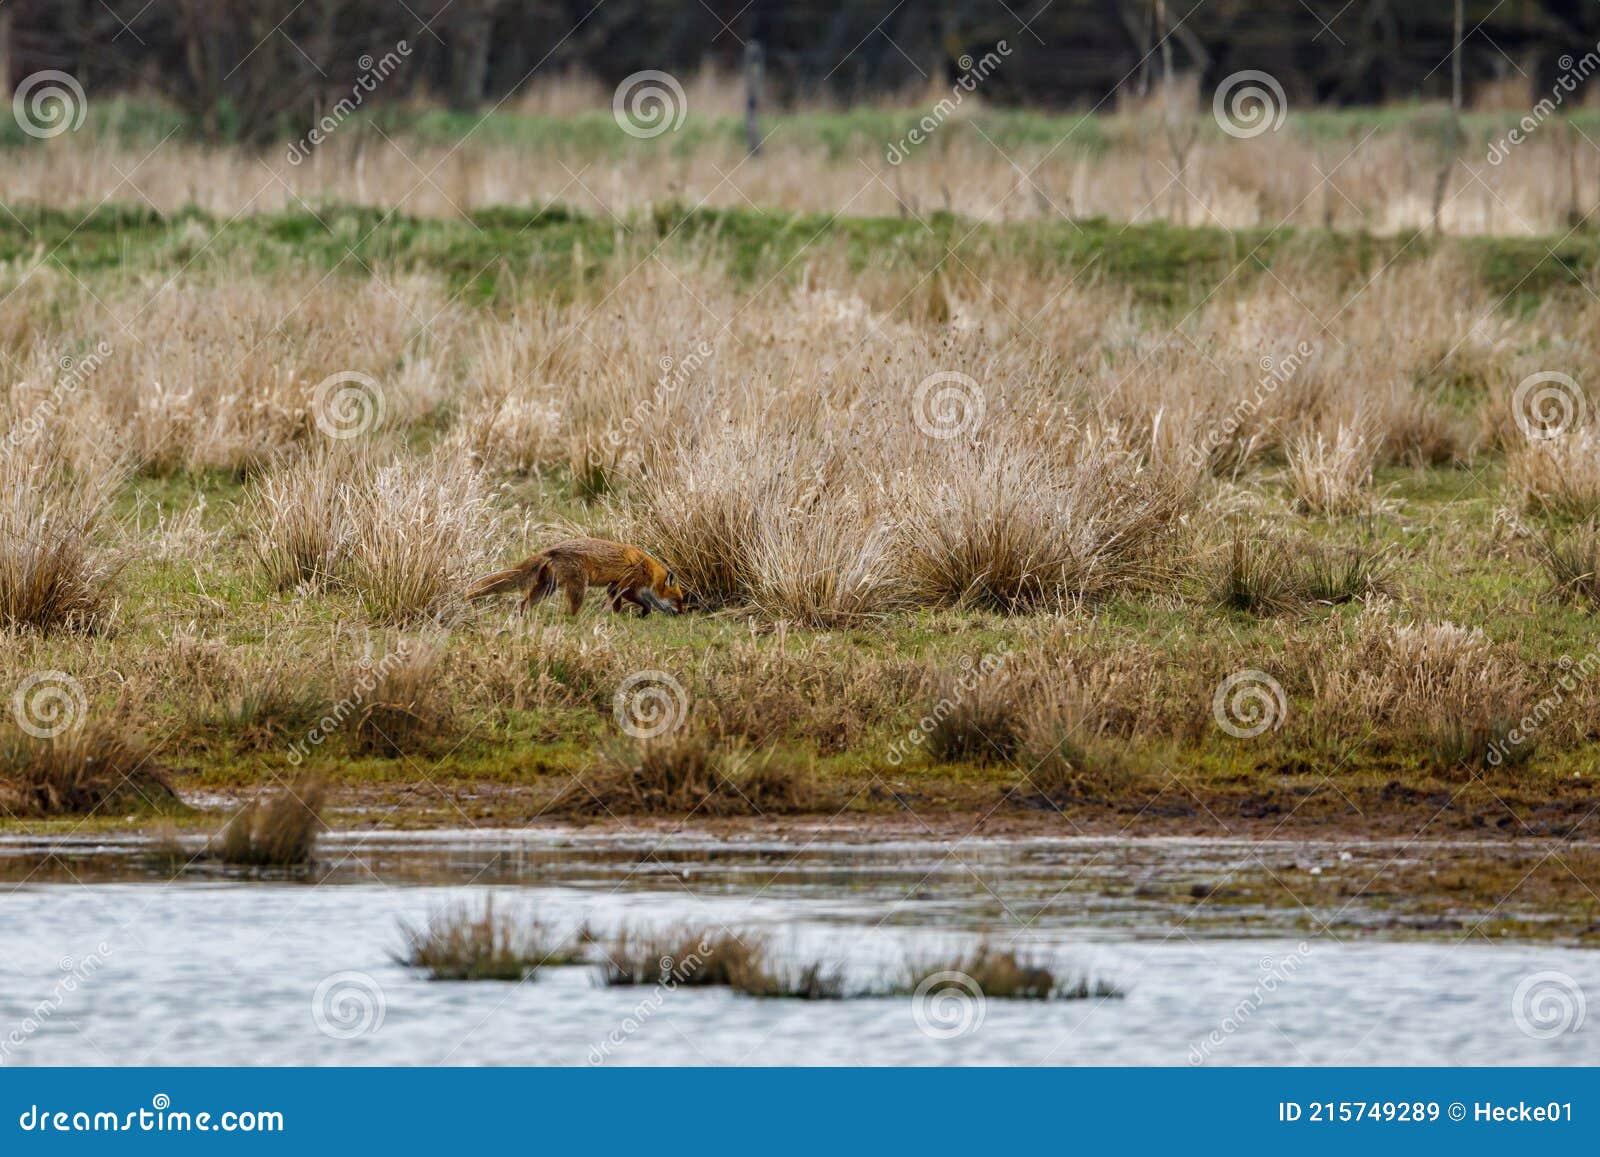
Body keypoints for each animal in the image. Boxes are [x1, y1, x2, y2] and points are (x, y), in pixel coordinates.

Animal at [466, 537, 686, 617]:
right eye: (678, 600)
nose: (682, 613)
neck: (650, 569)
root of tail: (552, 549)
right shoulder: (630, 585)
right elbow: (644, 602)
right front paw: (643, 613)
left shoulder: (614, 586)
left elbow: (615, 603)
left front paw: (613, 617)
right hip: (579, 587)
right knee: (570, 611)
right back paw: (576, 621)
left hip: (547, 588)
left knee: (523, 604)